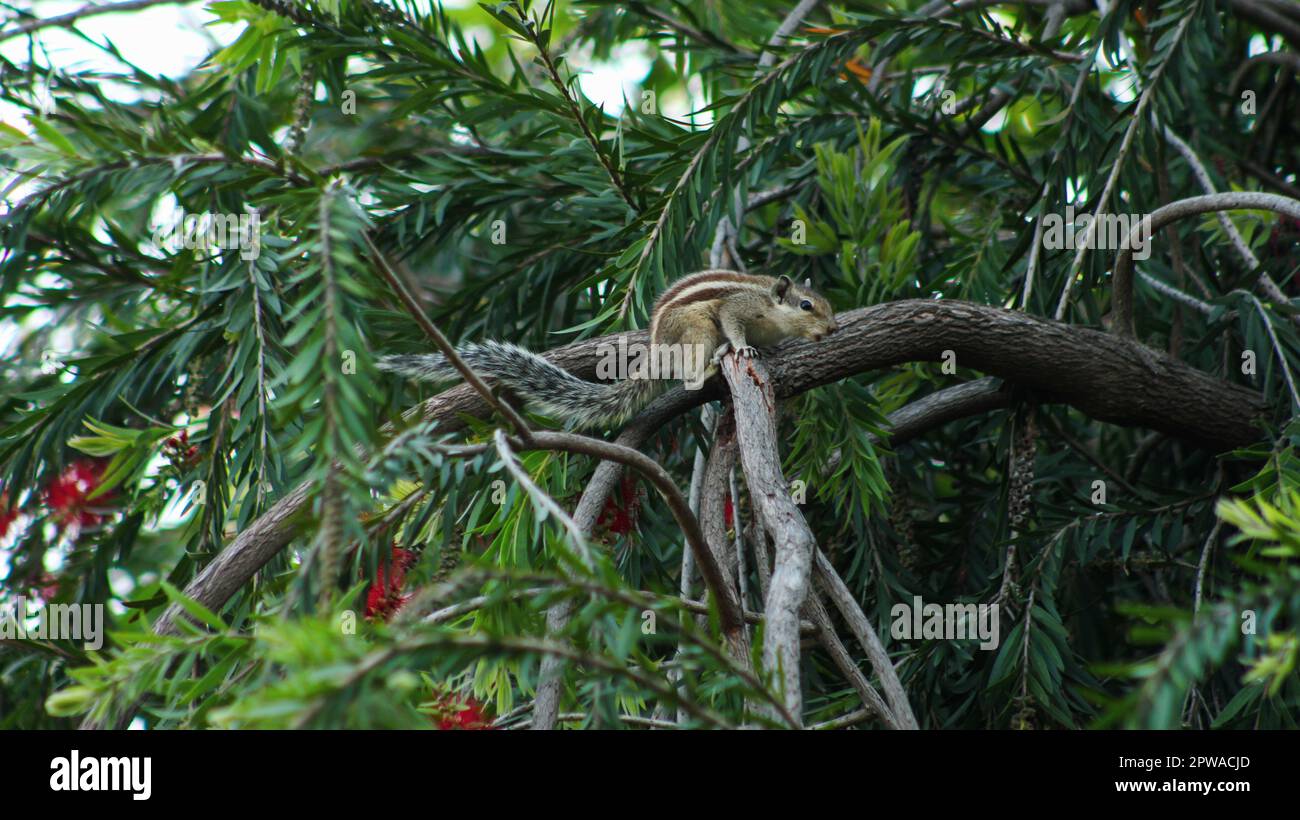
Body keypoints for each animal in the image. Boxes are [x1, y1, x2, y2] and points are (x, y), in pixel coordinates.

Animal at [377, 270, 839, 428]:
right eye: (806, 305)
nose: (833, 328)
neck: (771, 308)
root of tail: (657, 346)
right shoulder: (736, 308)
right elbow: (733, 325)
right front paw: (742, 349)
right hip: (694, 332)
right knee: (689, 376)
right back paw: (711, 366)